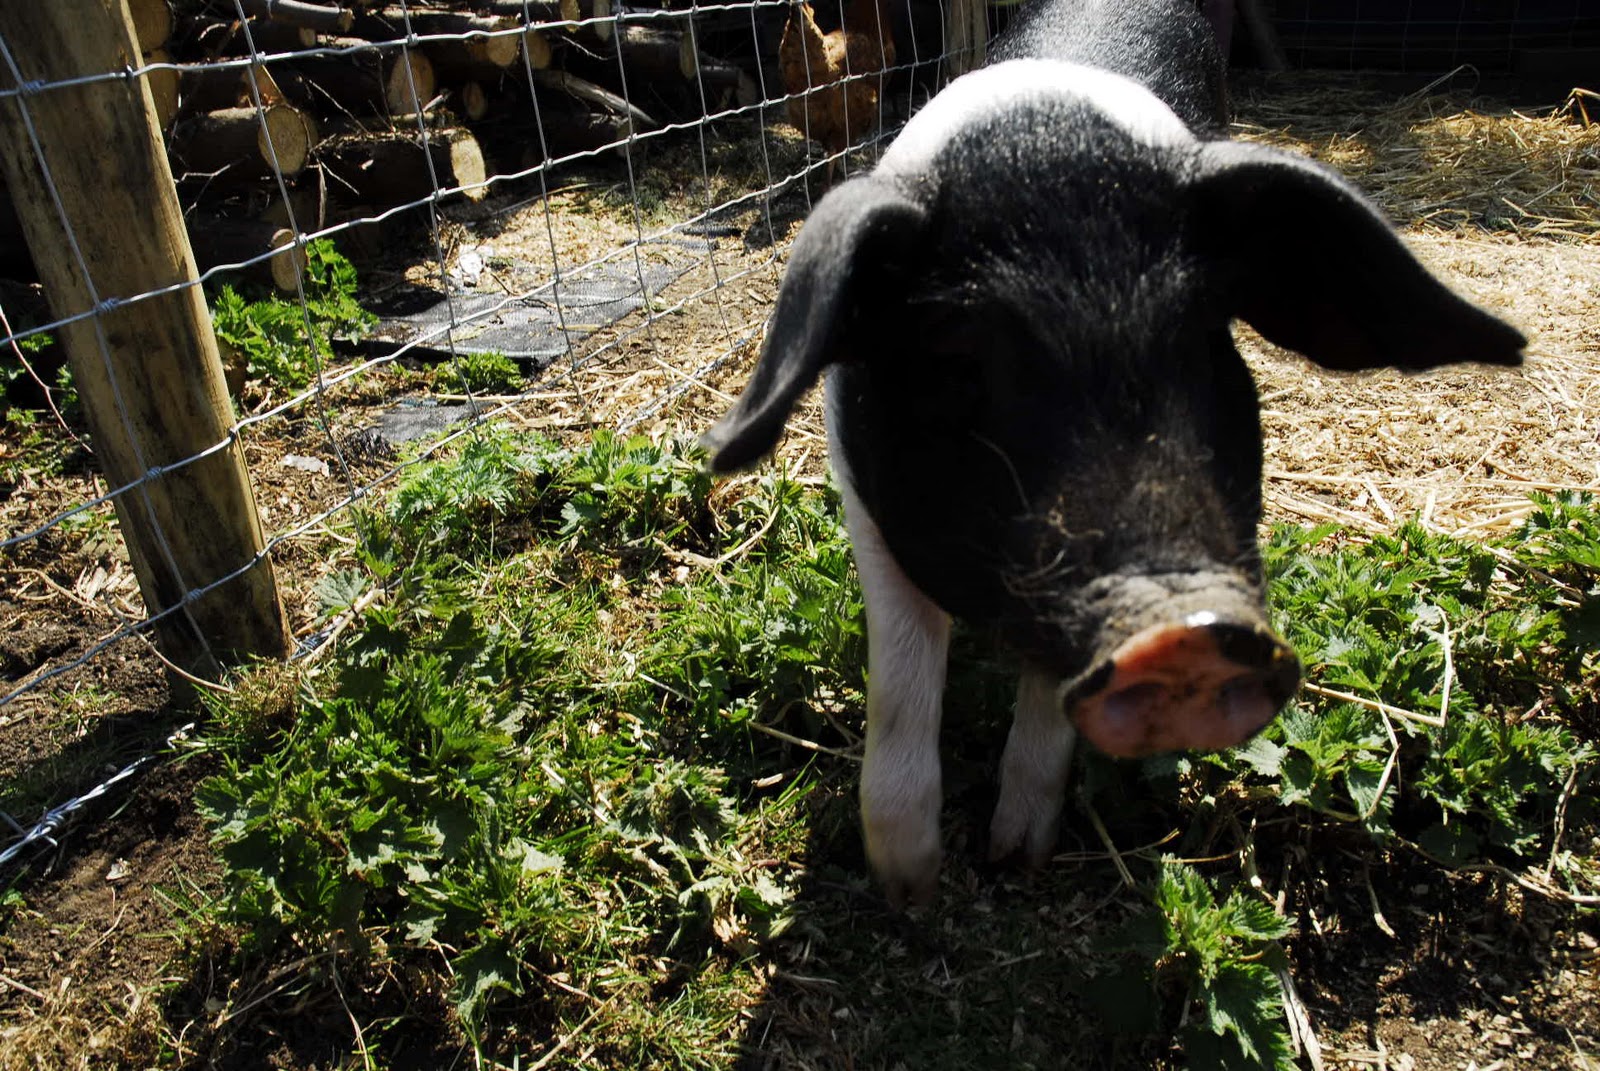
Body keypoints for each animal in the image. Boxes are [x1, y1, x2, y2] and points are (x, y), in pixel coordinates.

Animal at [703, 0, 1525, 905]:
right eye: (957, 352)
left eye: (1204, 334)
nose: (1185, 620)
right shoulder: (867, 502)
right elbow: (904, 684)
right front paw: (909, 885)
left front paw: (1016, 856)